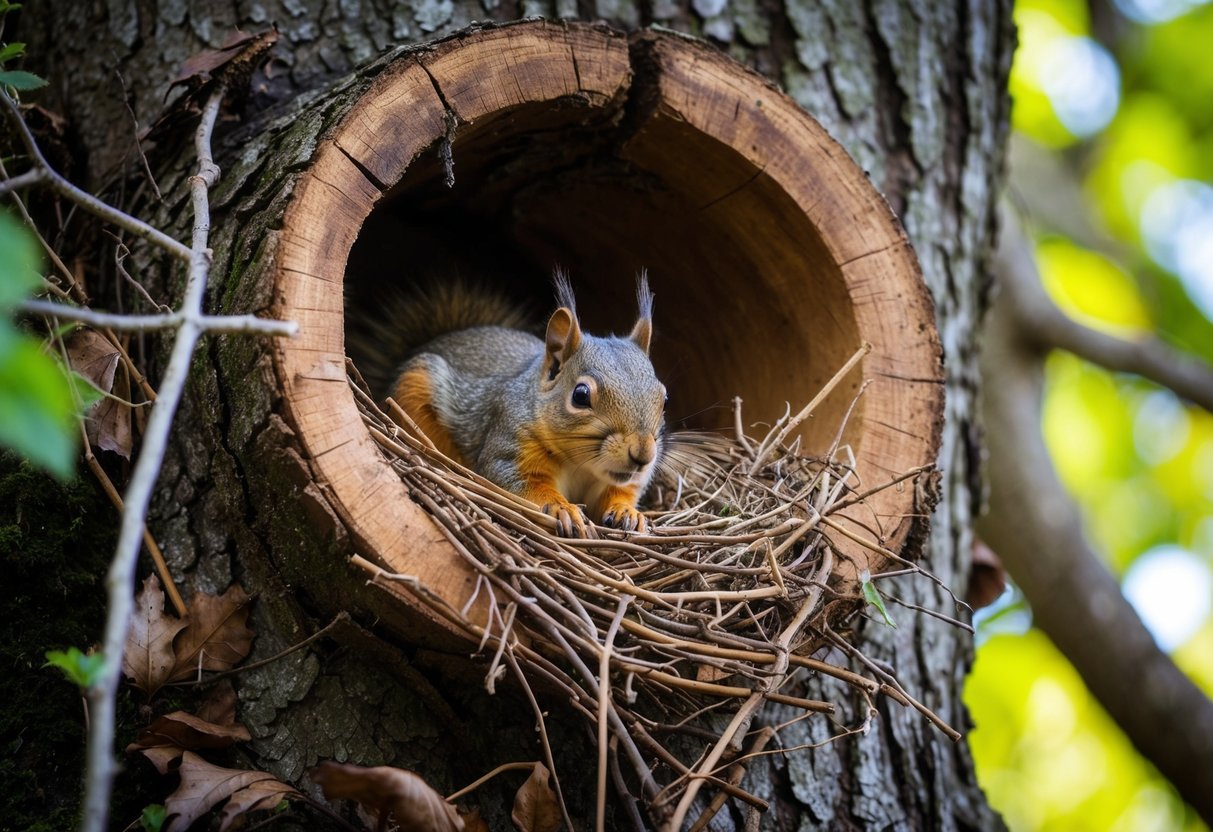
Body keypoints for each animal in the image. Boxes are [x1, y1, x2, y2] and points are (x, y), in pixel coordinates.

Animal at [370, 271, 668, 537]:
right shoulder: (509, 450)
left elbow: (618, 493)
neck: (582, 466)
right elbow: (525, 486)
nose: (643, 455)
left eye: (664, 398)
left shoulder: (621, 481)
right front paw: (562, 509)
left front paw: (627, 512)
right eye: (581, 395)